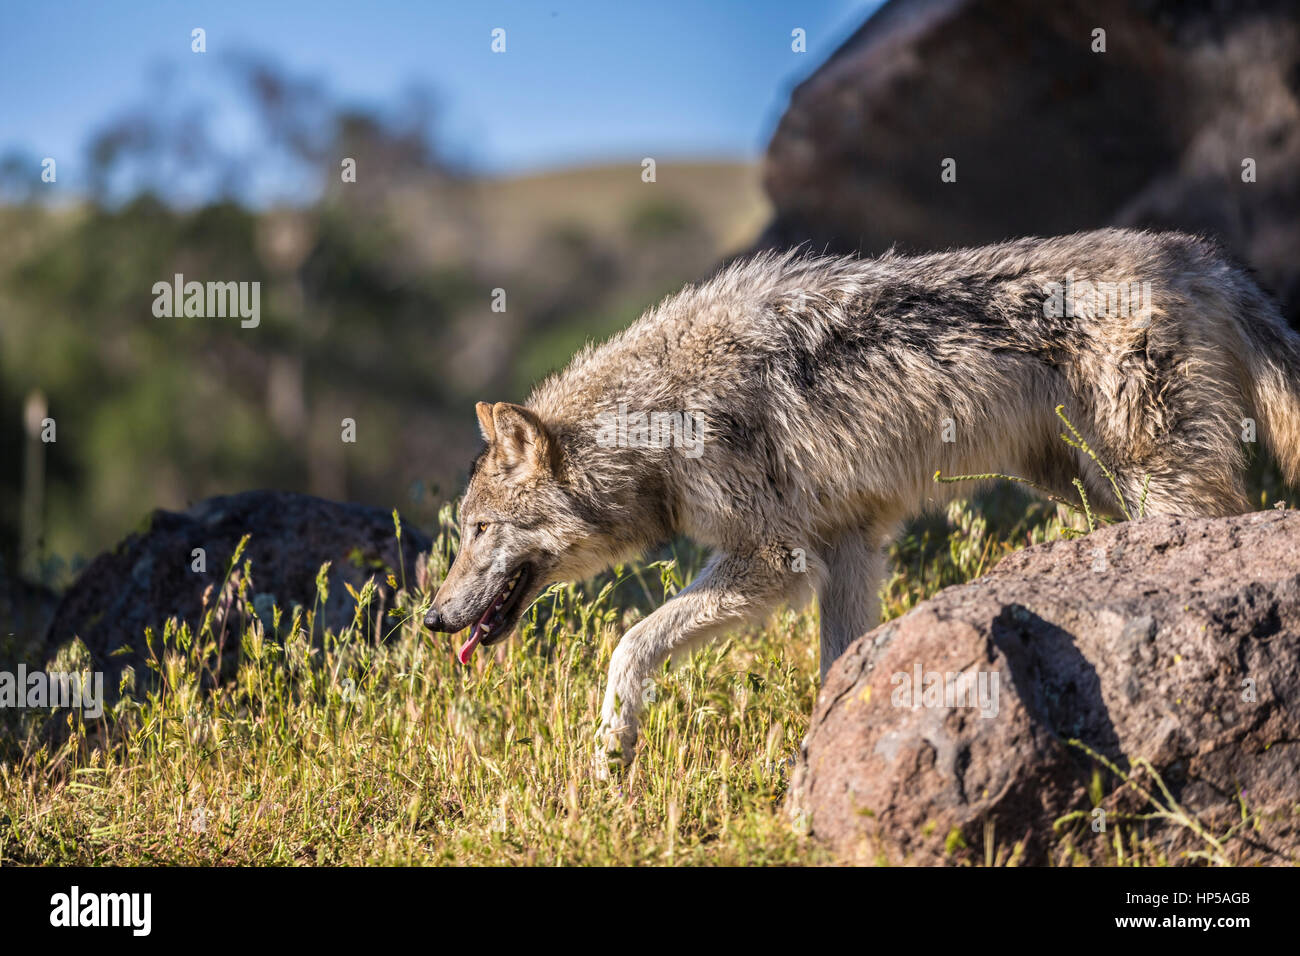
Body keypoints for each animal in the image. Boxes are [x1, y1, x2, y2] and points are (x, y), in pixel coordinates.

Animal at [425, 228, 1300, 765]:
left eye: (479, 529)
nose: (431, 619)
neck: (659, 413)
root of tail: (1198, 255)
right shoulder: (848, 545)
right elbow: (837, 664)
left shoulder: (775, 560)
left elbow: (629, 643)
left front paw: (614, 753)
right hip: (1087, 488)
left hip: (1151, 489)